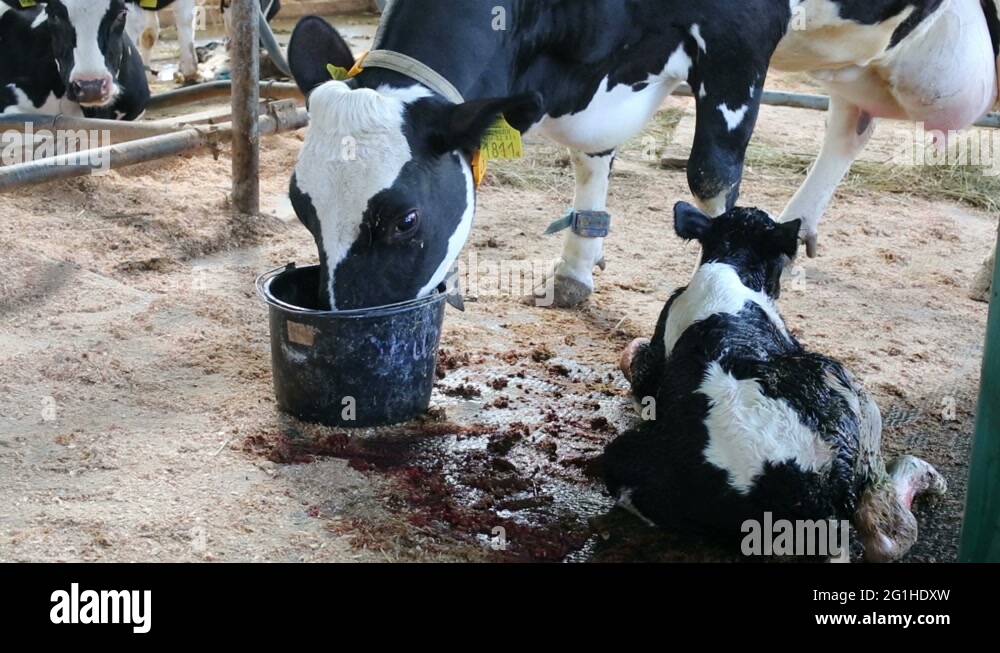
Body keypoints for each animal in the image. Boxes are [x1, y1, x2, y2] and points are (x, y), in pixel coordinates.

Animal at [285, 1, 998, 312]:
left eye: (405, 220)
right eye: (300, 205)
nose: (344, 318)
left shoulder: (740, 37)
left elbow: (713, 176)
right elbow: (591, 159)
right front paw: (577, 269)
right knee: (850, 126)